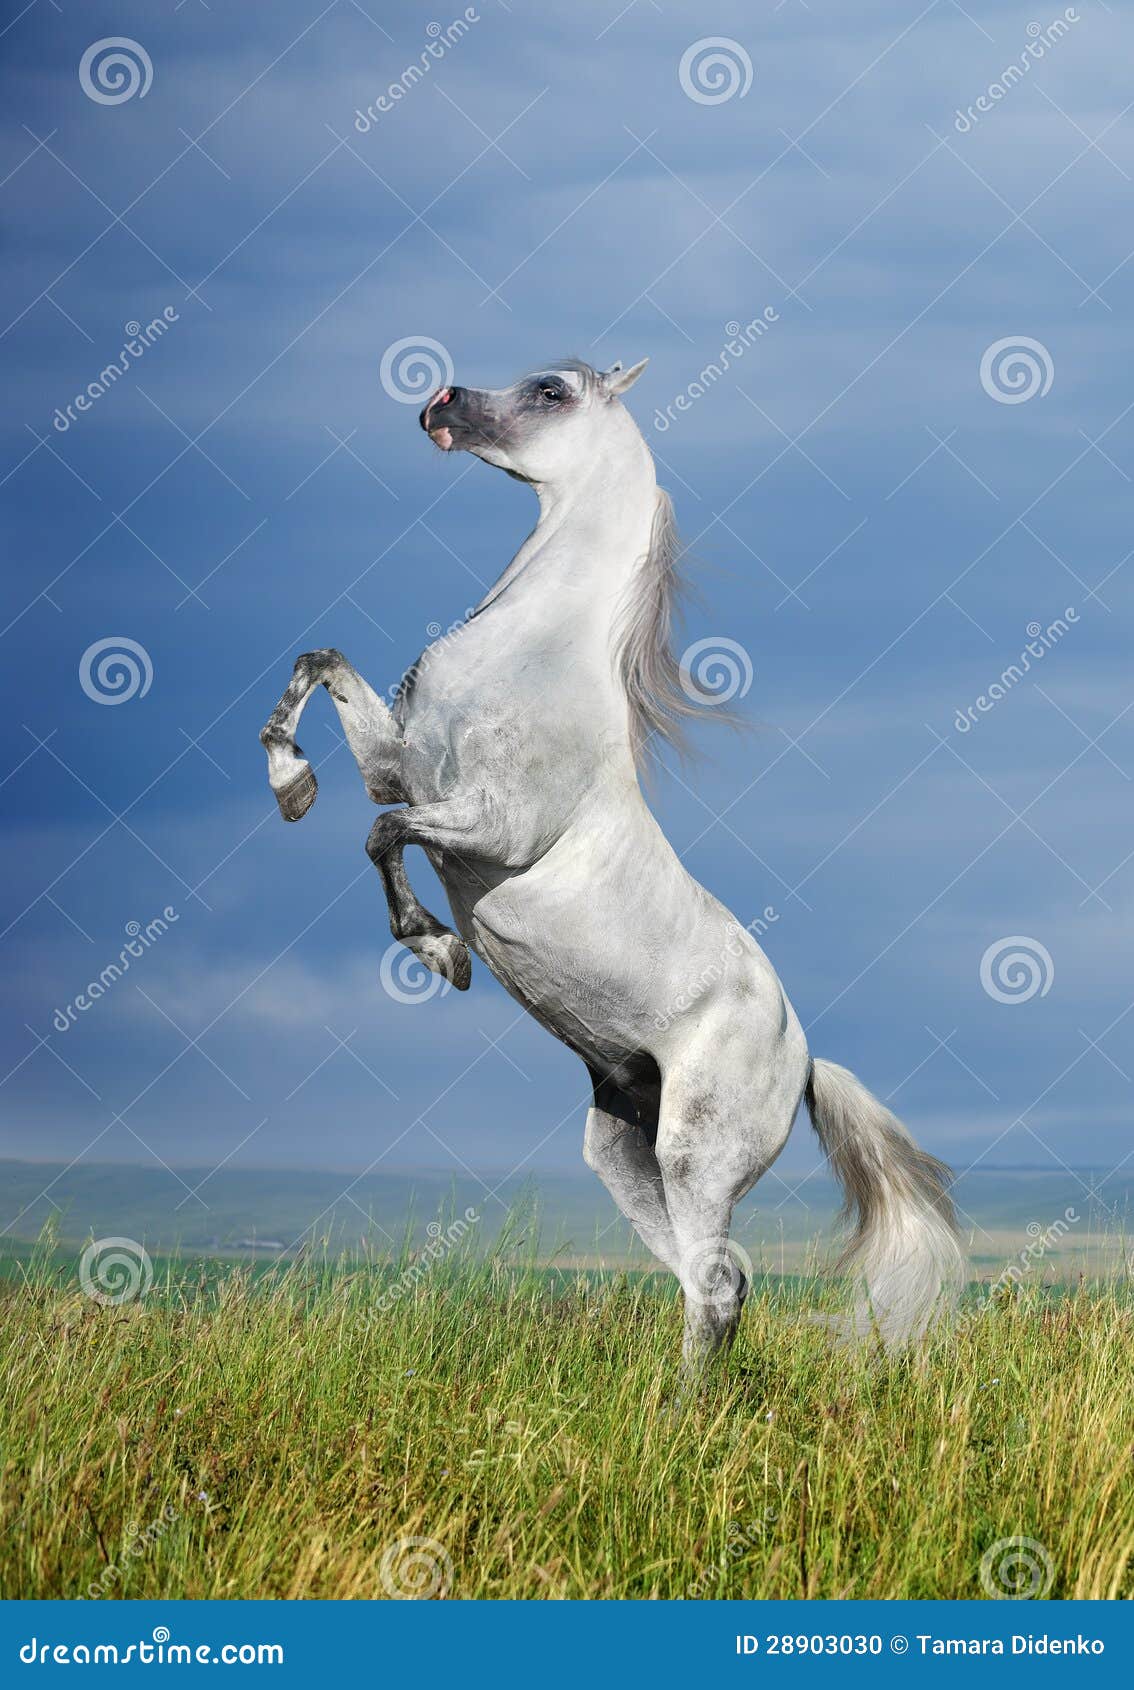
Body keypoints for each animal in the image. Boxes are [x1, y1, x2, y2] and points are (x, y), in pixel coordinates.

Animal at [259, 356, 965, 1371]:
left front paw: (440, 950)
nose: (439, 403)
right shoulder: (400, 764)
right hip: (625, 1156)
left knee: (715, 1286)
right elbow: (321, 667)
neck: (529, 654)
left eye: (551, 391)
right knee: (719, 1282)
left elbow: (385, 835)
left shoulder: (491, 827)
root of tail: (802, 1062)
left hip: (694, 1158)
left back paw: (682, 1410)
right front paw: (292, 785)